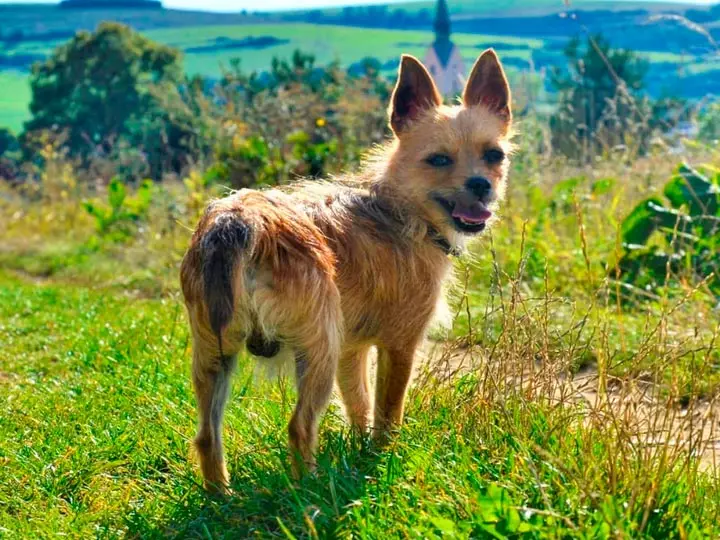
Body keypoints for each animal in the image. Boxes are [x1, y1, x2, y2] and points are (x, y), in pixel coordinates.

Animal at [183, 50, 516, 494]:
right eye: (439, 160)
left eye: (494, 155)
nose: (481, 184)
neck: (400, 210)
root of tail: (241, 222)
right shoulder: (399, 345)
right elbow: (388, 413)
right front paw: (384, 461)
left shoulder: (352, 351)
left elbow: (359, 405)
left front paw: (361, 454)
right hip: (317, 351)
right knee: (299, 428)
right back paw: (311, 491)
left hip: (214, 355)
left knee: (206, 435)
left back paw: (221, 496)